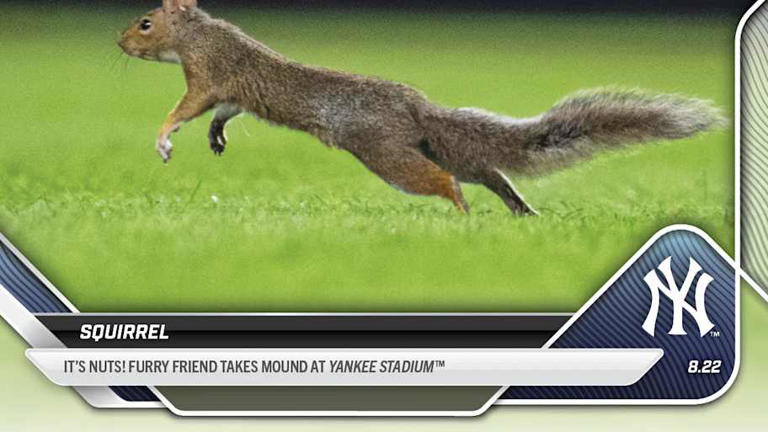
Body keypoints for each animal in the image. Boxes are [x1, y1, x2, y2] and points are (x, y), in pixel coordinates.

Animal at [118, 0, 724, 215]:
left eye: (145, 23)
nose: (120, 44)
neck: (199, 31)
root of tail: (417, 110)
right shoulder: (228, 92)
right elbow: (225, 112)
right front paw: (215, 137)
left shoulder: (207, 75)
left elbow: (185, 107)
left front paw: (165, 138)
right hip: (438, 148)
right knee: (487, 171)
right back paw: (520, 211)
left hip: (385, 153)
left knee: (444, 181)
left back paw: (462, 213)